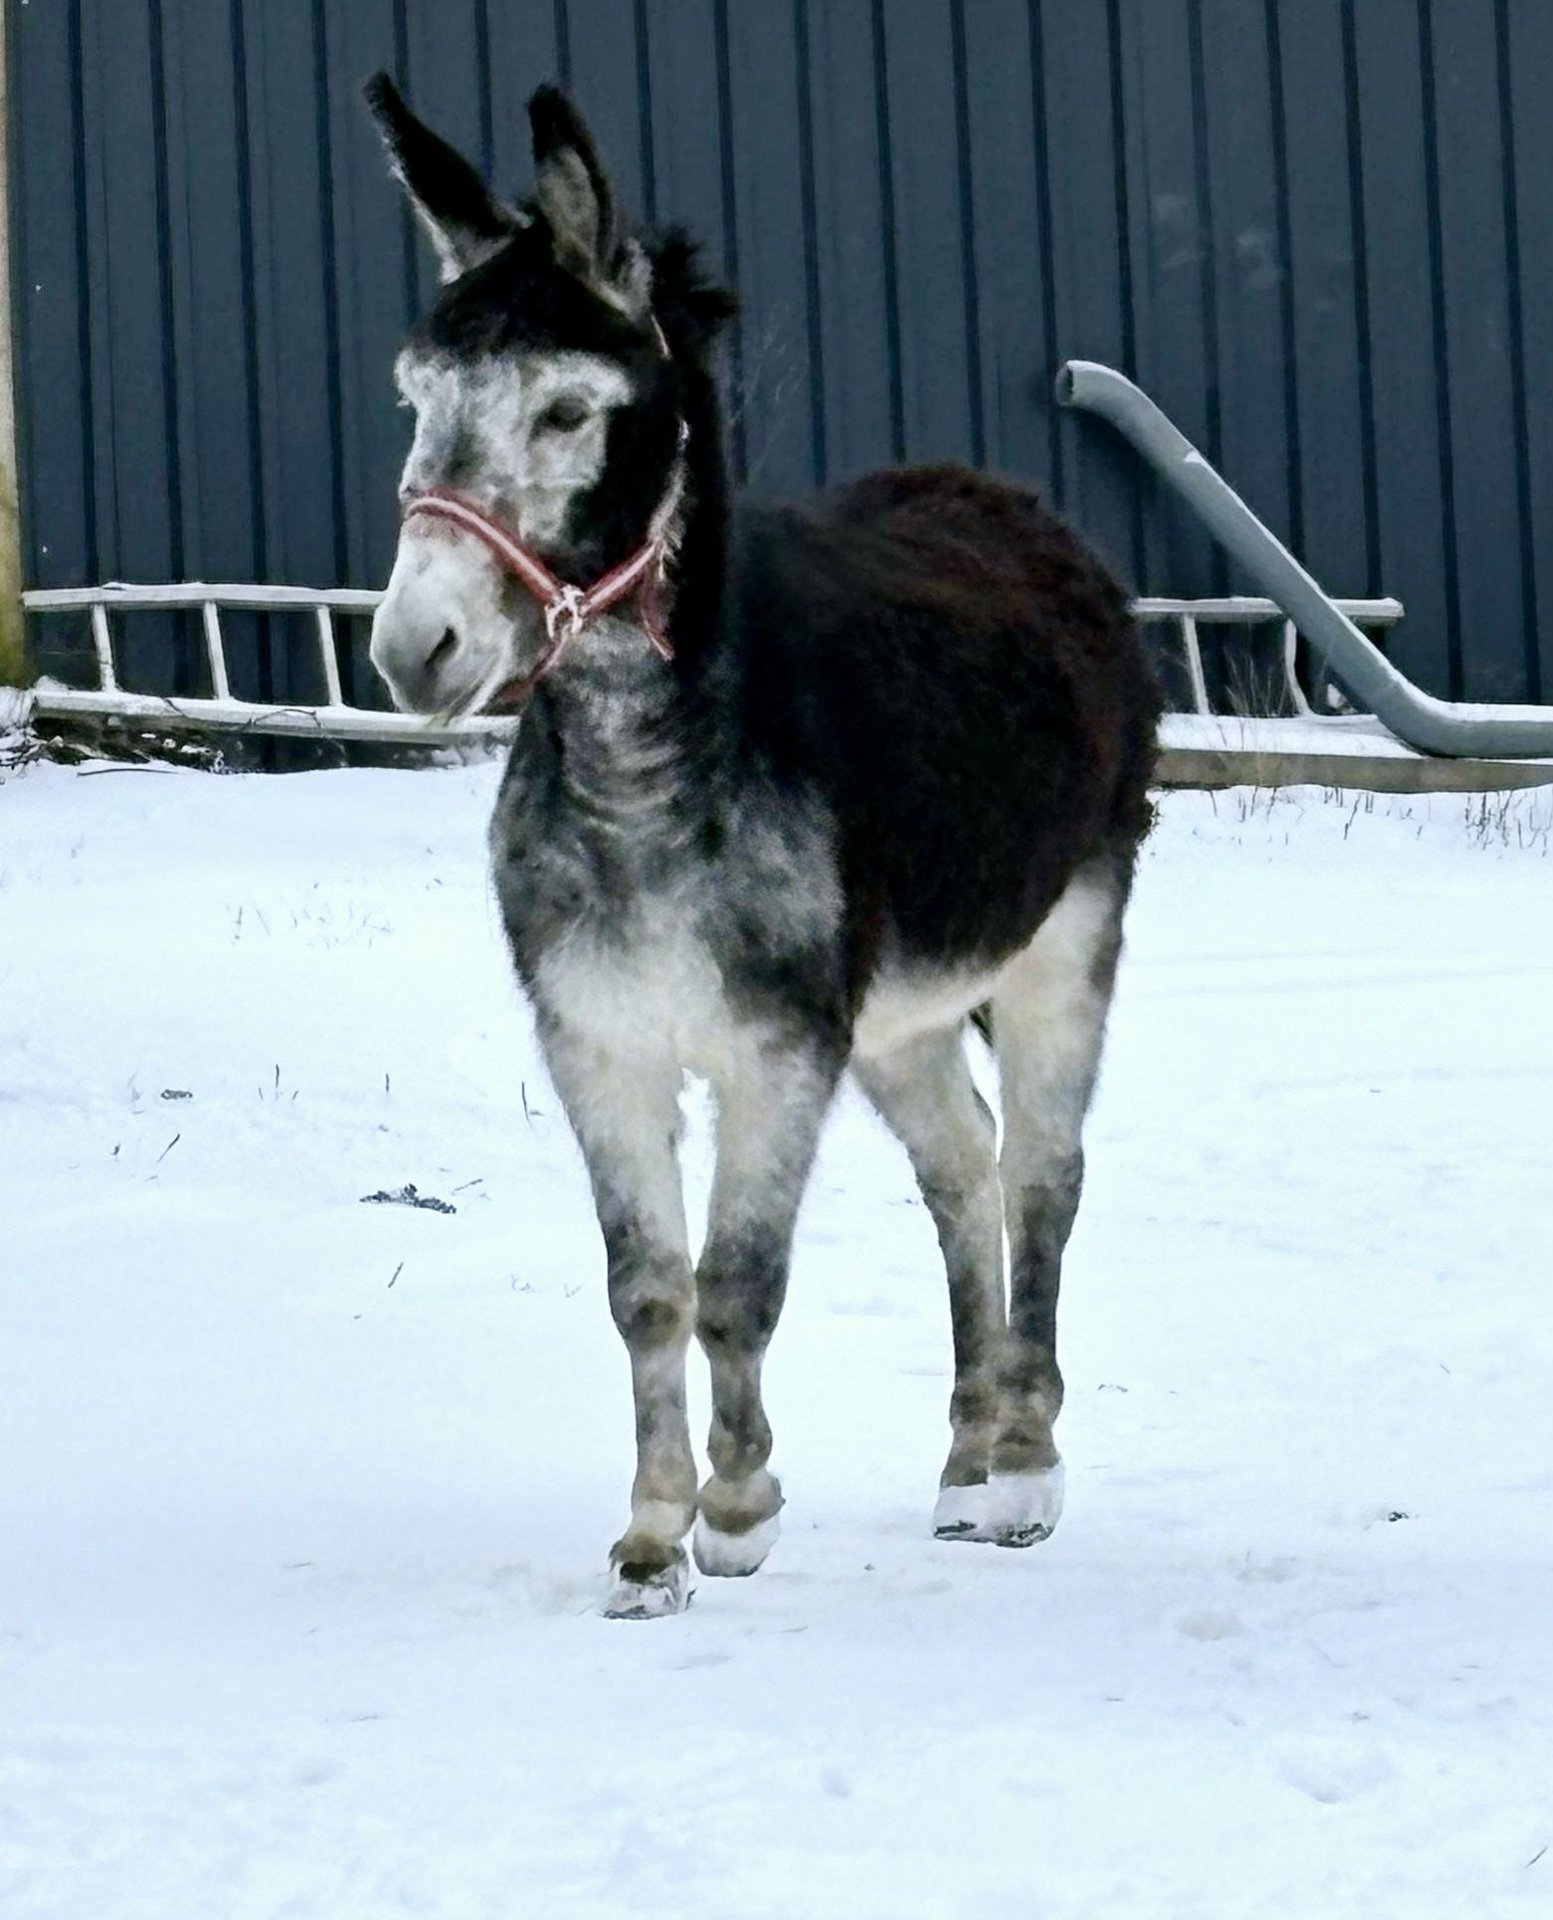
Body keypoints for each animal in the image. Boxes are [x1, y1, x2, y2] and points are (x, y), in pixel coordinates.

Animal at [363, 76, 1160, 1618]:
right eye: (415, 398)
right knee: (960, 1171)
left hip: (1063, 945)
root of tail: (1002, 501)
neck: (643, 772)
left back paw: (1026, 1469)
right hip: (901, 1016)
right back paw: (965, 1461)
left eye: (566, 409)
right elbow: (649, 1289)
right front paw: (647, 1542)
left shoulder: (777, 1047)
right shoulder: (599, 1045)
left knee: (1040, 1174)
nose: (410, 647)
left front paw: (735, 1513)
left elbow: (738, 1282)